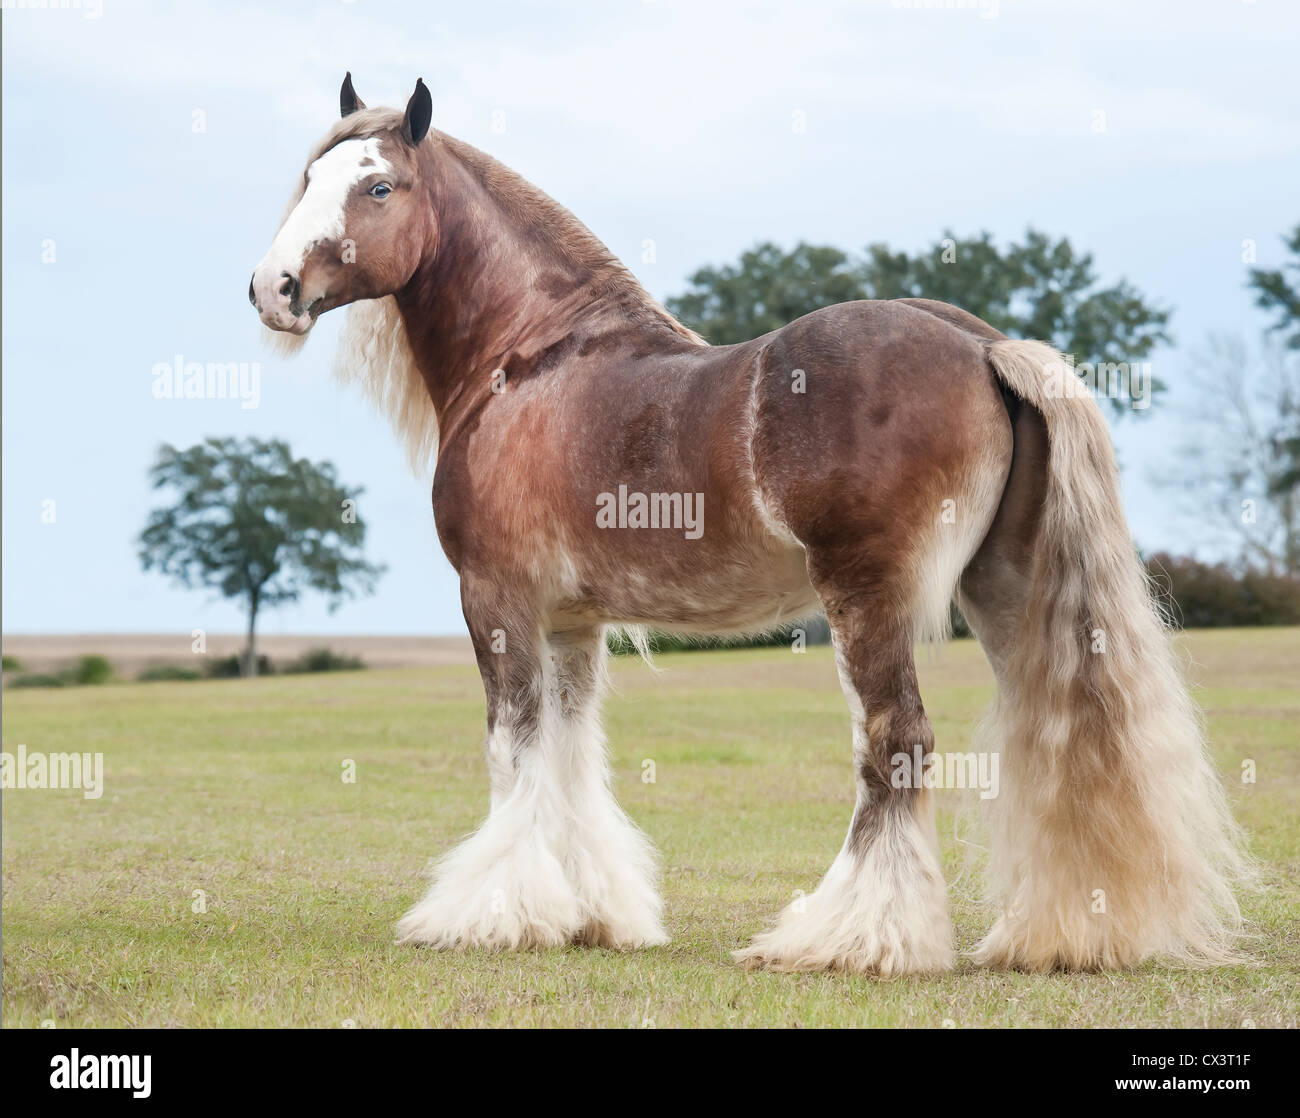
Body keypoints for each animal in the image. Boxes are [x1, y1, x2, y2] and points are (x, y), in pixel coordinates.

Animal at [249, 75, 1248, 974]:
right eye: (312, 177)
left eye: (380, 186)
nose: (274, 288)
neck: (533, 359)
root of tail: (982, 346)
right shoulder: (572, 621)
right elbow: (570, 759)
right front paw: (591, 914)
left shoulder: (497, 600)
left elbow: (513, 752)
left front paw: (489, 914)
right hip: (1003, 592)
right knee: (1049, 736)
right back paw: (1048, 938)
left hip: (867, 600)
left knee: (896, 743)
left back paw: (850, 940)